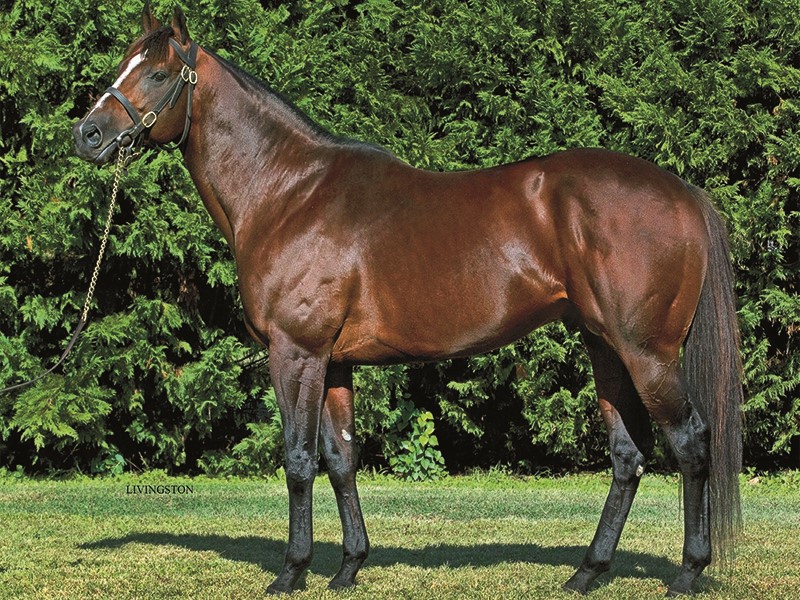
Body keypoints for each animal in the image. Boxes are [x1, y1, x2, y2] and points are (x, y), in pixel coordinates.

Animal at [73, 6, 743, 596]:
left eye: (158, 73)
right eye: (123, 61)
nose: (87, 134)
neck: (287, 192)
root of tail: (682, 193)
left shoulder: (296, 352)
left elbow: (298, 460)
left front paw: (291, 572)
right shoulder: (334, 363)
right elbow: (340, 457)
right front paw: (348, 568)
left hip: (646, 353)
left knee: (691, 443)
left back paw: (687, 573)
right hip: (606, 348)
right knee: (628, 457)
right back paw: (587, 573)